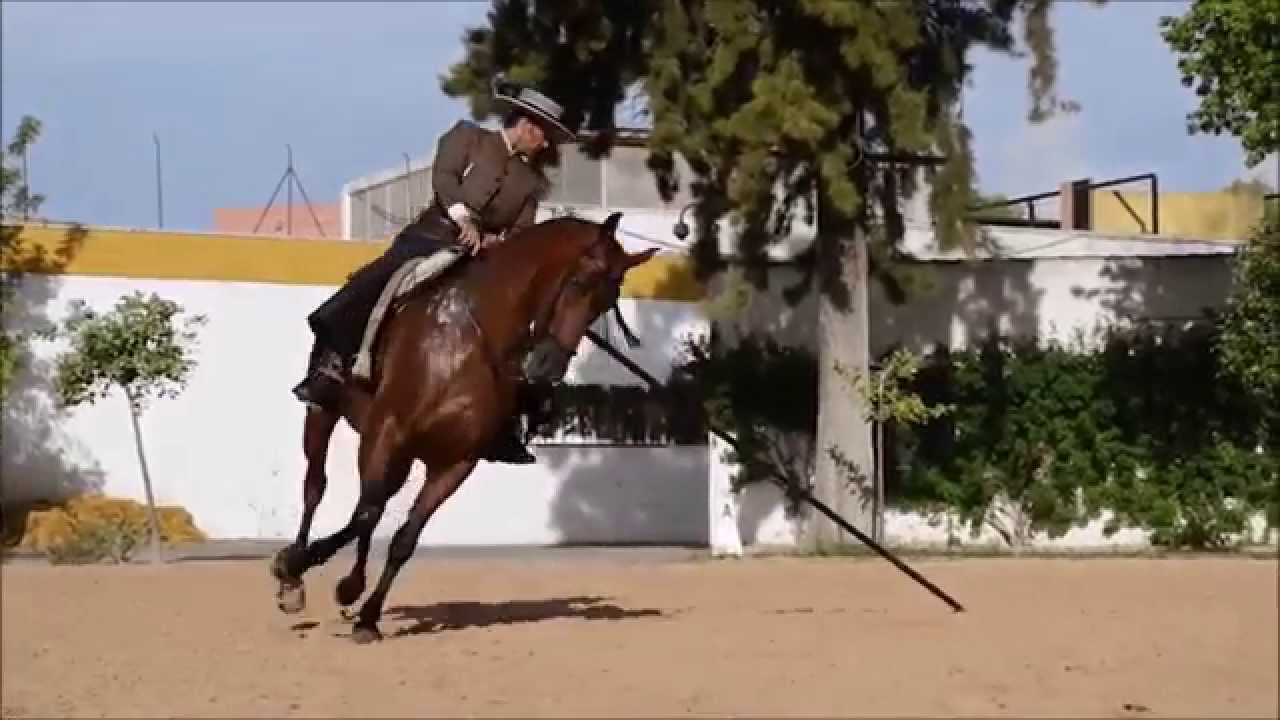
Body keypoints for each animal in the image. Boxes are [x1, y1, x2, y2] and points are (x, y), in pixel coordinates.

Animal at [269, 211, 657, 644]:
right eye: (579, 281)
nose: (547, 367)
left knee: (370, 502)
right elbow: (366, 513)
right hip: (327, 413)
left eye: (606, 304)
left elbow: (403, 537)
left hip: (401, 456)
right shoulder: (387, 430)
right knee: (317, 487)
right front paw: (302, 567)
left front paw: (367, 615)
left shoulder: (455, 462)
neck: (467, 337)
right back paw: (292, 578)